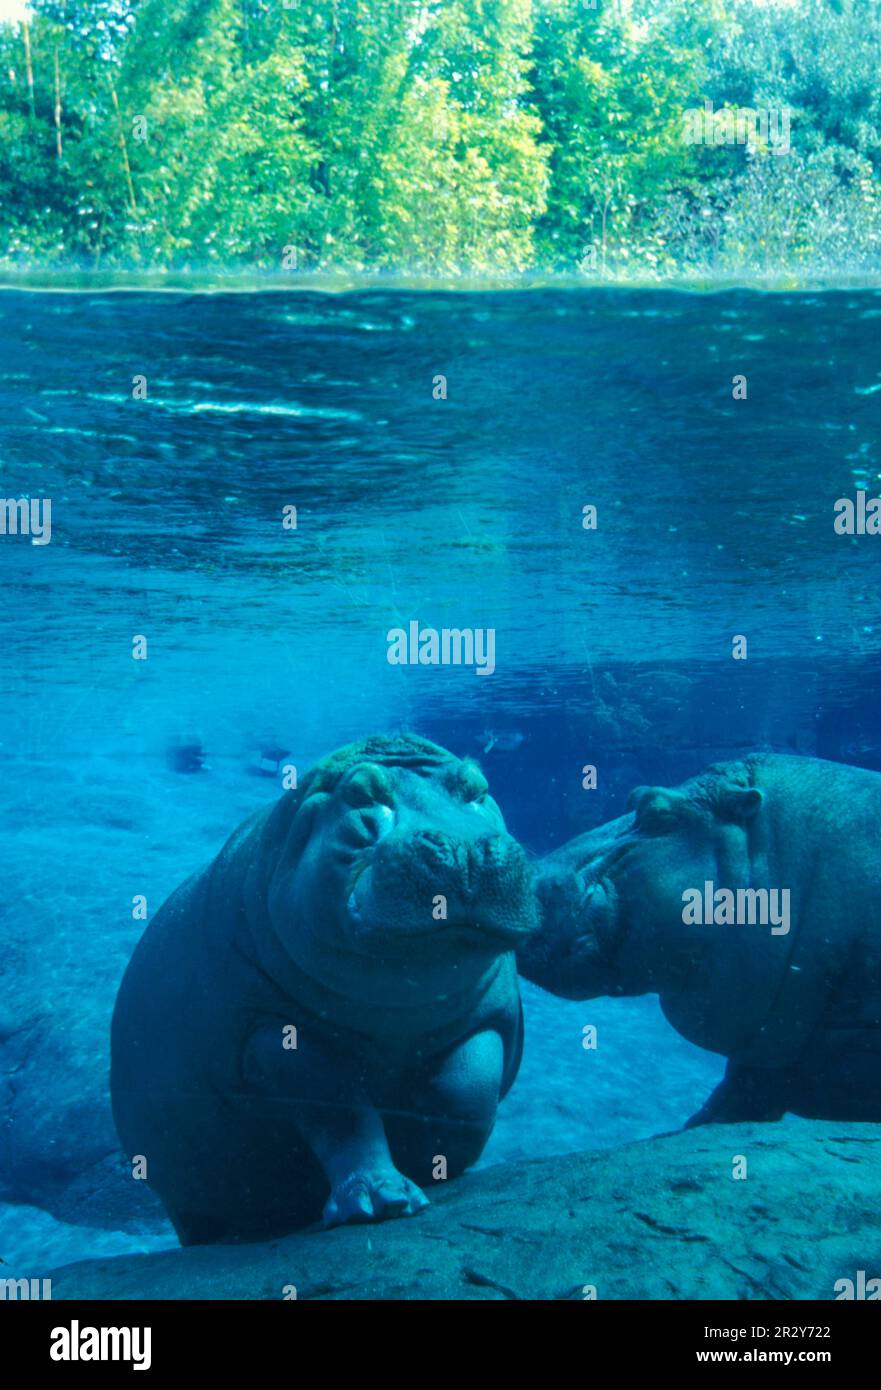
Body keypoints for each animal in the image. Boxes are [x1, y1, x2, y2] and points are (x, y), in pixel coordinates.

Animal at [111, 734, 536, 1244]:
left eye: (477, 787)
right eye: (360, 795)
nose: (464, 847)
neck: (394, 1010)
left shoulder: (489, 1019)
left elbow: (465, 1091)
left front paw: (434, 1159)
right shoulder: (273, 1035)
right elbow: (343, 1116)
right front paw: (382, 1201)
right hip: (187, 1202)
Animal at [518, 755, 881, 1127]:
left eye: (655, 811)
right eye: (632, 795)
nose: (526, 870)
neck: (781, 849)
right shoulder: (768, 1043)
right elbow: (742, 1088)